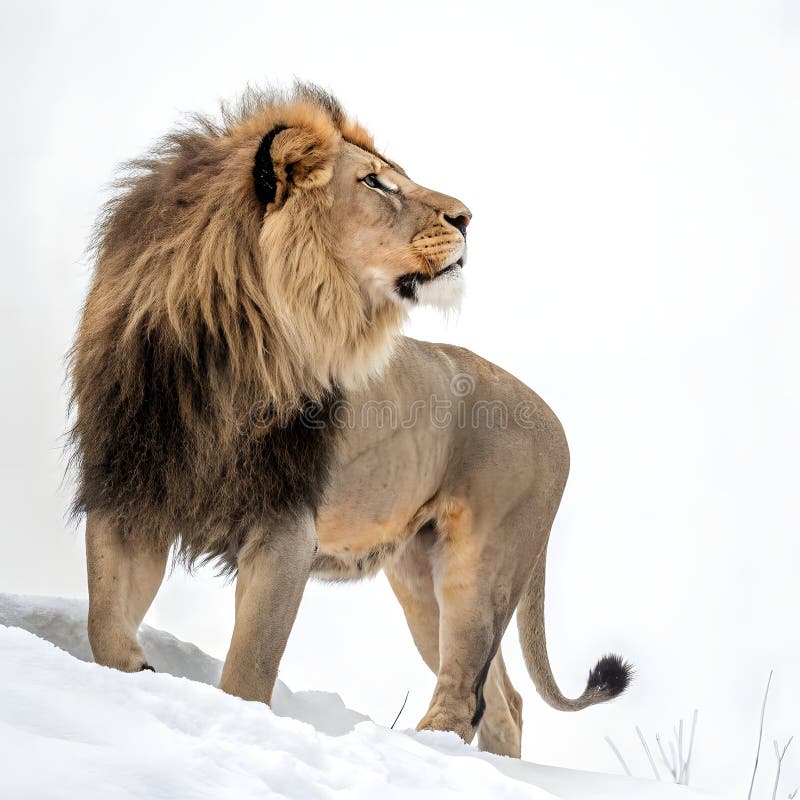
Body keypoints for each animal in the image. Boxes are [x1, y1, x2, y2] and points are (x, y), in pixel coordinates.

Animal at [69, 83, 630, 758]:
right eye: (375, 183)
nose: (467, 217)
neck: (224, 352)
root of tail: (551, 414)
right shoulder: (130, 491)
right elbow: (103, 617)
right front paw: (136, 675)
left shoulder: (285, 527)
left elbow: (250, 668)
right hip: (419, 579)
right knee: (504, 703)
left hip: (483, 566)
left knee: (464, 693)